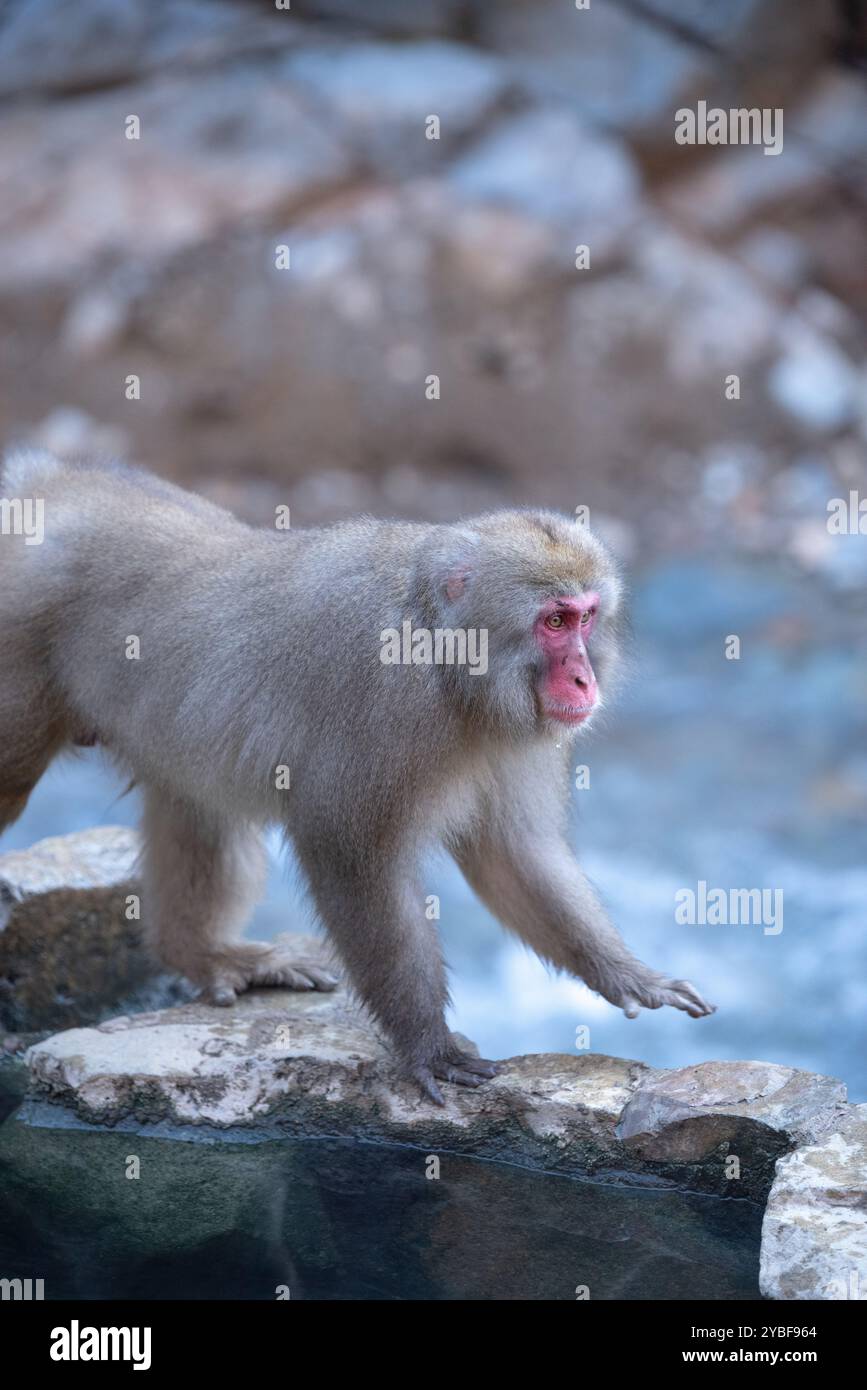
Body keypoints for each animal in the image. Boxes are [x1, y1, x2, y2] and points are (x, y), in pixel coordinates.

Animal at [0, 449, 715, 1103]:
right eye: (555, 620)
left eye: (587, 616)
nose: (584, 680)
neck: (447, 658)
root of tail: (47, 483)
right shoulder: (387, 703)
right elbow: (350, 856)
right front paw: (428, 1044)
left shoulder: (519, 737)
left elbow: (513, 854)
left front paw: (627, 975)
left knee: (196, 800)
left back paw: (205, 955)